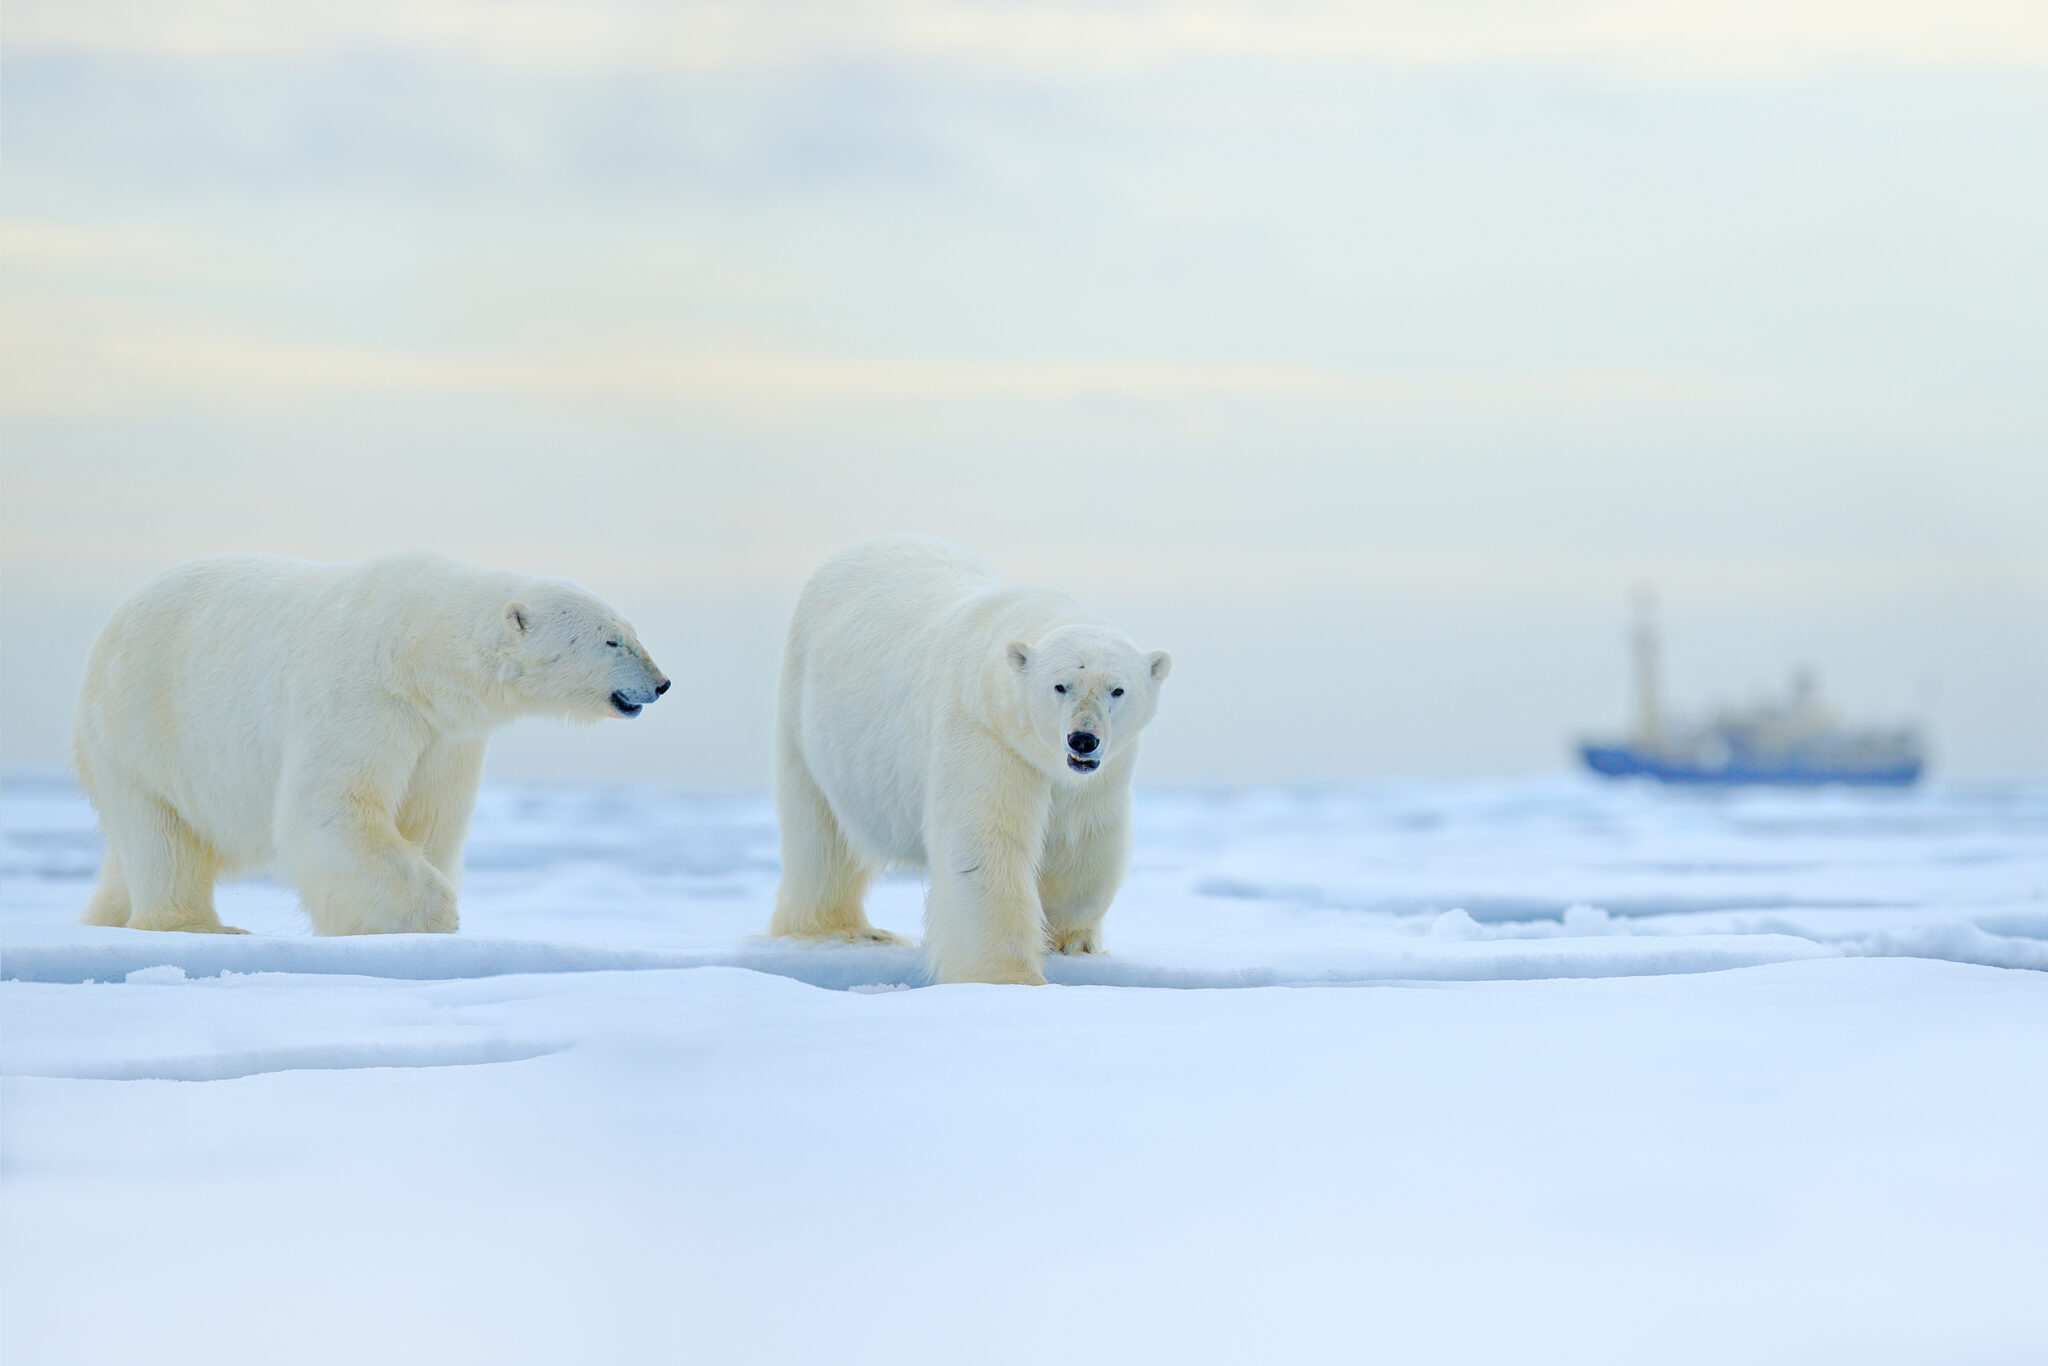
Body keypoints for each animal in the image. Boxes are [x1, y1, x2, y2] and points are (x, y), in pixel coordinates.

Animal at [72, 550, 668, 936]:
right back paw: (196, 926)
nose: (660, 683)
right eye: (611, 640)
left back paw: (105, 917)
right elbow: (331, 805)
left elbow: (430, 818)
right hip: (141, 725)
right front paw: (437, 914)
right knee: (160, 833)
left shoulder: (445, 734)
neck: (417, 651)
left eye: (631, 631)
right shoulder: (365, 697)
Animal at [768, 534, 1171, 984]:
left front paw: (1070, 942)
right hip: (804, 712)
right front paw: (1009, 976)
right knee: (817, 834)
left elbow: (1082, 837)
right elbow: (984, 845)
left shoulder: (1102, 771)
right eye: (1060, 685)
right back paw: (840, 930)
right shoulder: (983, 732)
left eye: (1117, 689)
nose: (1083, 739)